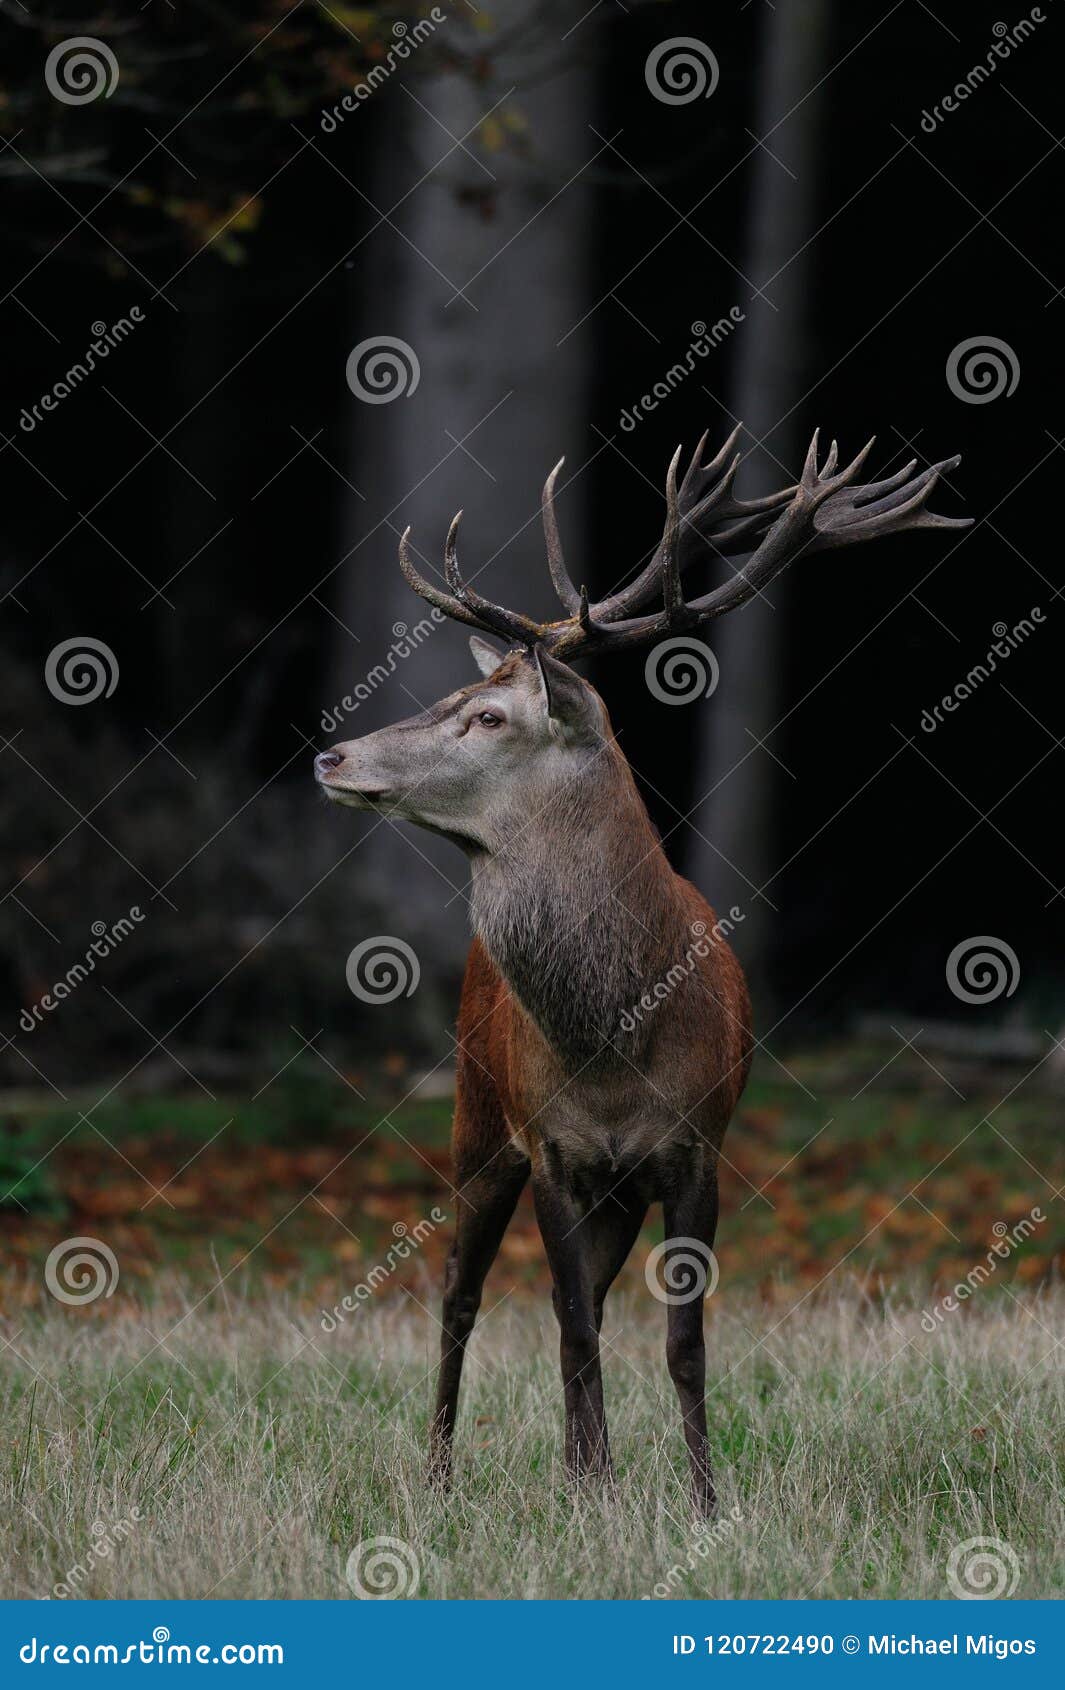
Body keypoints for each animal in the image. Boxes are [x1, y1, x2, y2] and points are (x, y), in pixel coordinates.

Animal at [314, 426, 968, 1514]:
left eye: (488, 717)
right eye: (458, 698)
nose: (330, 755)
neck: (619, 1040)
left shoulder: (696, 1147)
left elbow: (679, 1343)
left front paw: (700, 1501)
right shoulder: (551, 1147)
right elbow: (572, 1327)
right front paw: (603, 1492)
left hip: (607, 1187)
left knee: (578, 1305)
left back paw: (568, 1464)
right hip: (478, 1119)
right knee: (463, 1298)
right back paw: (445, 1476)